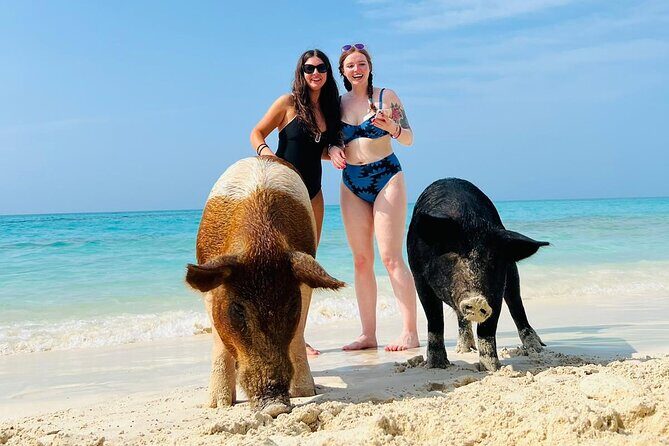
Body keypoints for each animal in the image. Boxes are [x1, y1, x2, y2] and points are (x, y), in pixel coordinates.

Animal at [185, 156, 344, 416]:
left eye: (291, 307)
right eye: (238, 310)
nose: (276, 406)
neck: (260, 242)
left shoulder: (303, 284)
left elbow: (297, 333)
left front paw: (305, 393)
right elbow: (219, 340)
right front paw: (217, 405)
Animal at [407, 178, 549, 371]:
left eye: (493, 260)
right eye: (454, 255)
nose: (477, 300)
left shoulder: (496, 288)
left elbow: (488, 327)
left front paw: (491, 368)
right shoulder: (419, 278)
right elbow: (435, 319)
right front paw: (437, 365)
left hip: (512, 273)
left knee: (516, 303)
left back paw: (536, 348)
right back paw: (463, 349)